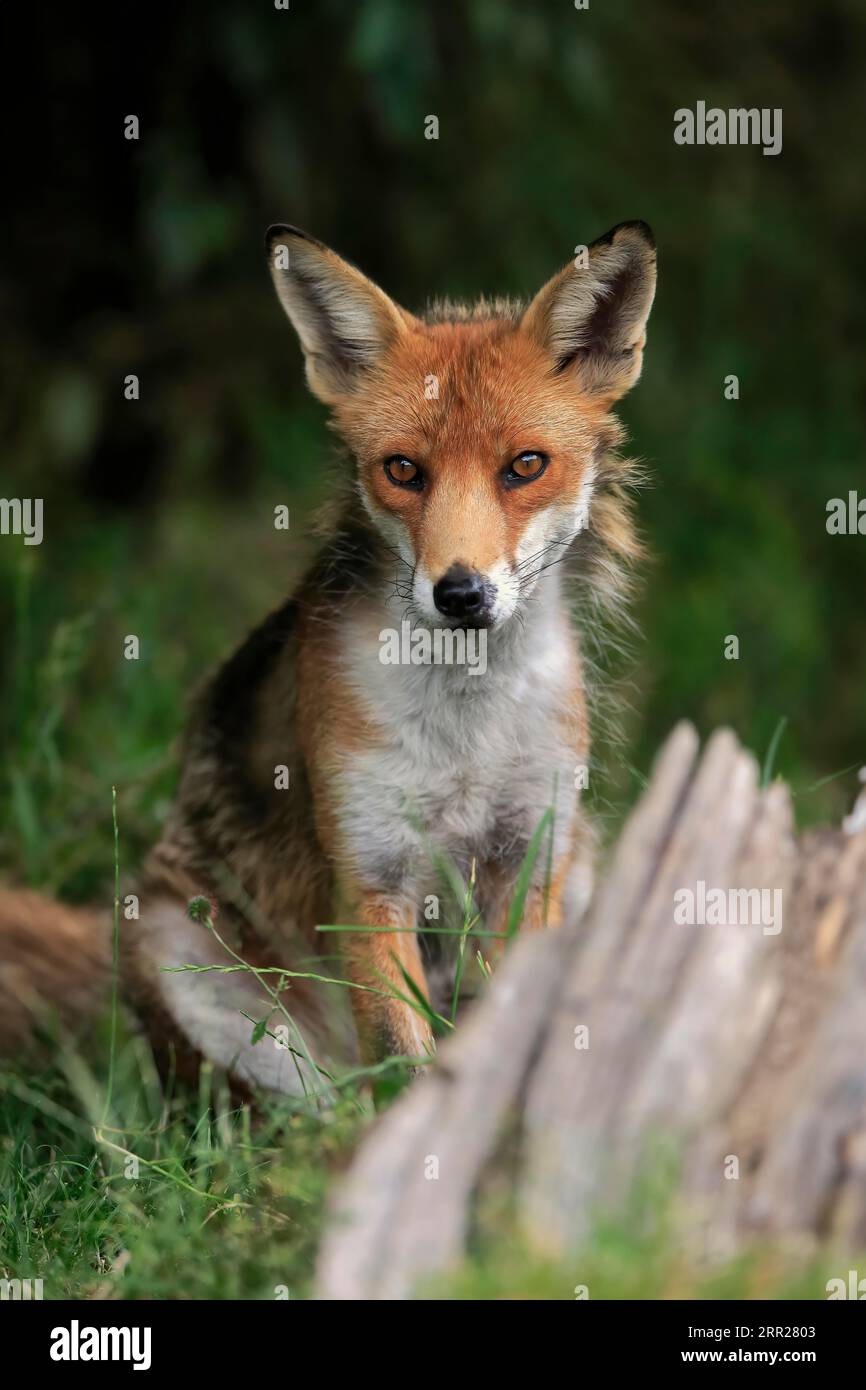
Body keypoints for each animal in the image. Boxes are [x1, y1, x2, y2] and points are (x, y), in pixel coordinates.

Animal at [0, 220, 656, 1093]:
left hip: (583, 866)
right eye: (403, 470)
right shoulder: (371, 877)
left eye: (525, 466)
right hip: (181, 953)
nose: (460, 593)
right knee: (307, 1109)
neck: (467, 735)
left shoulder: (529, 860)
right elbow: (403, 1064)